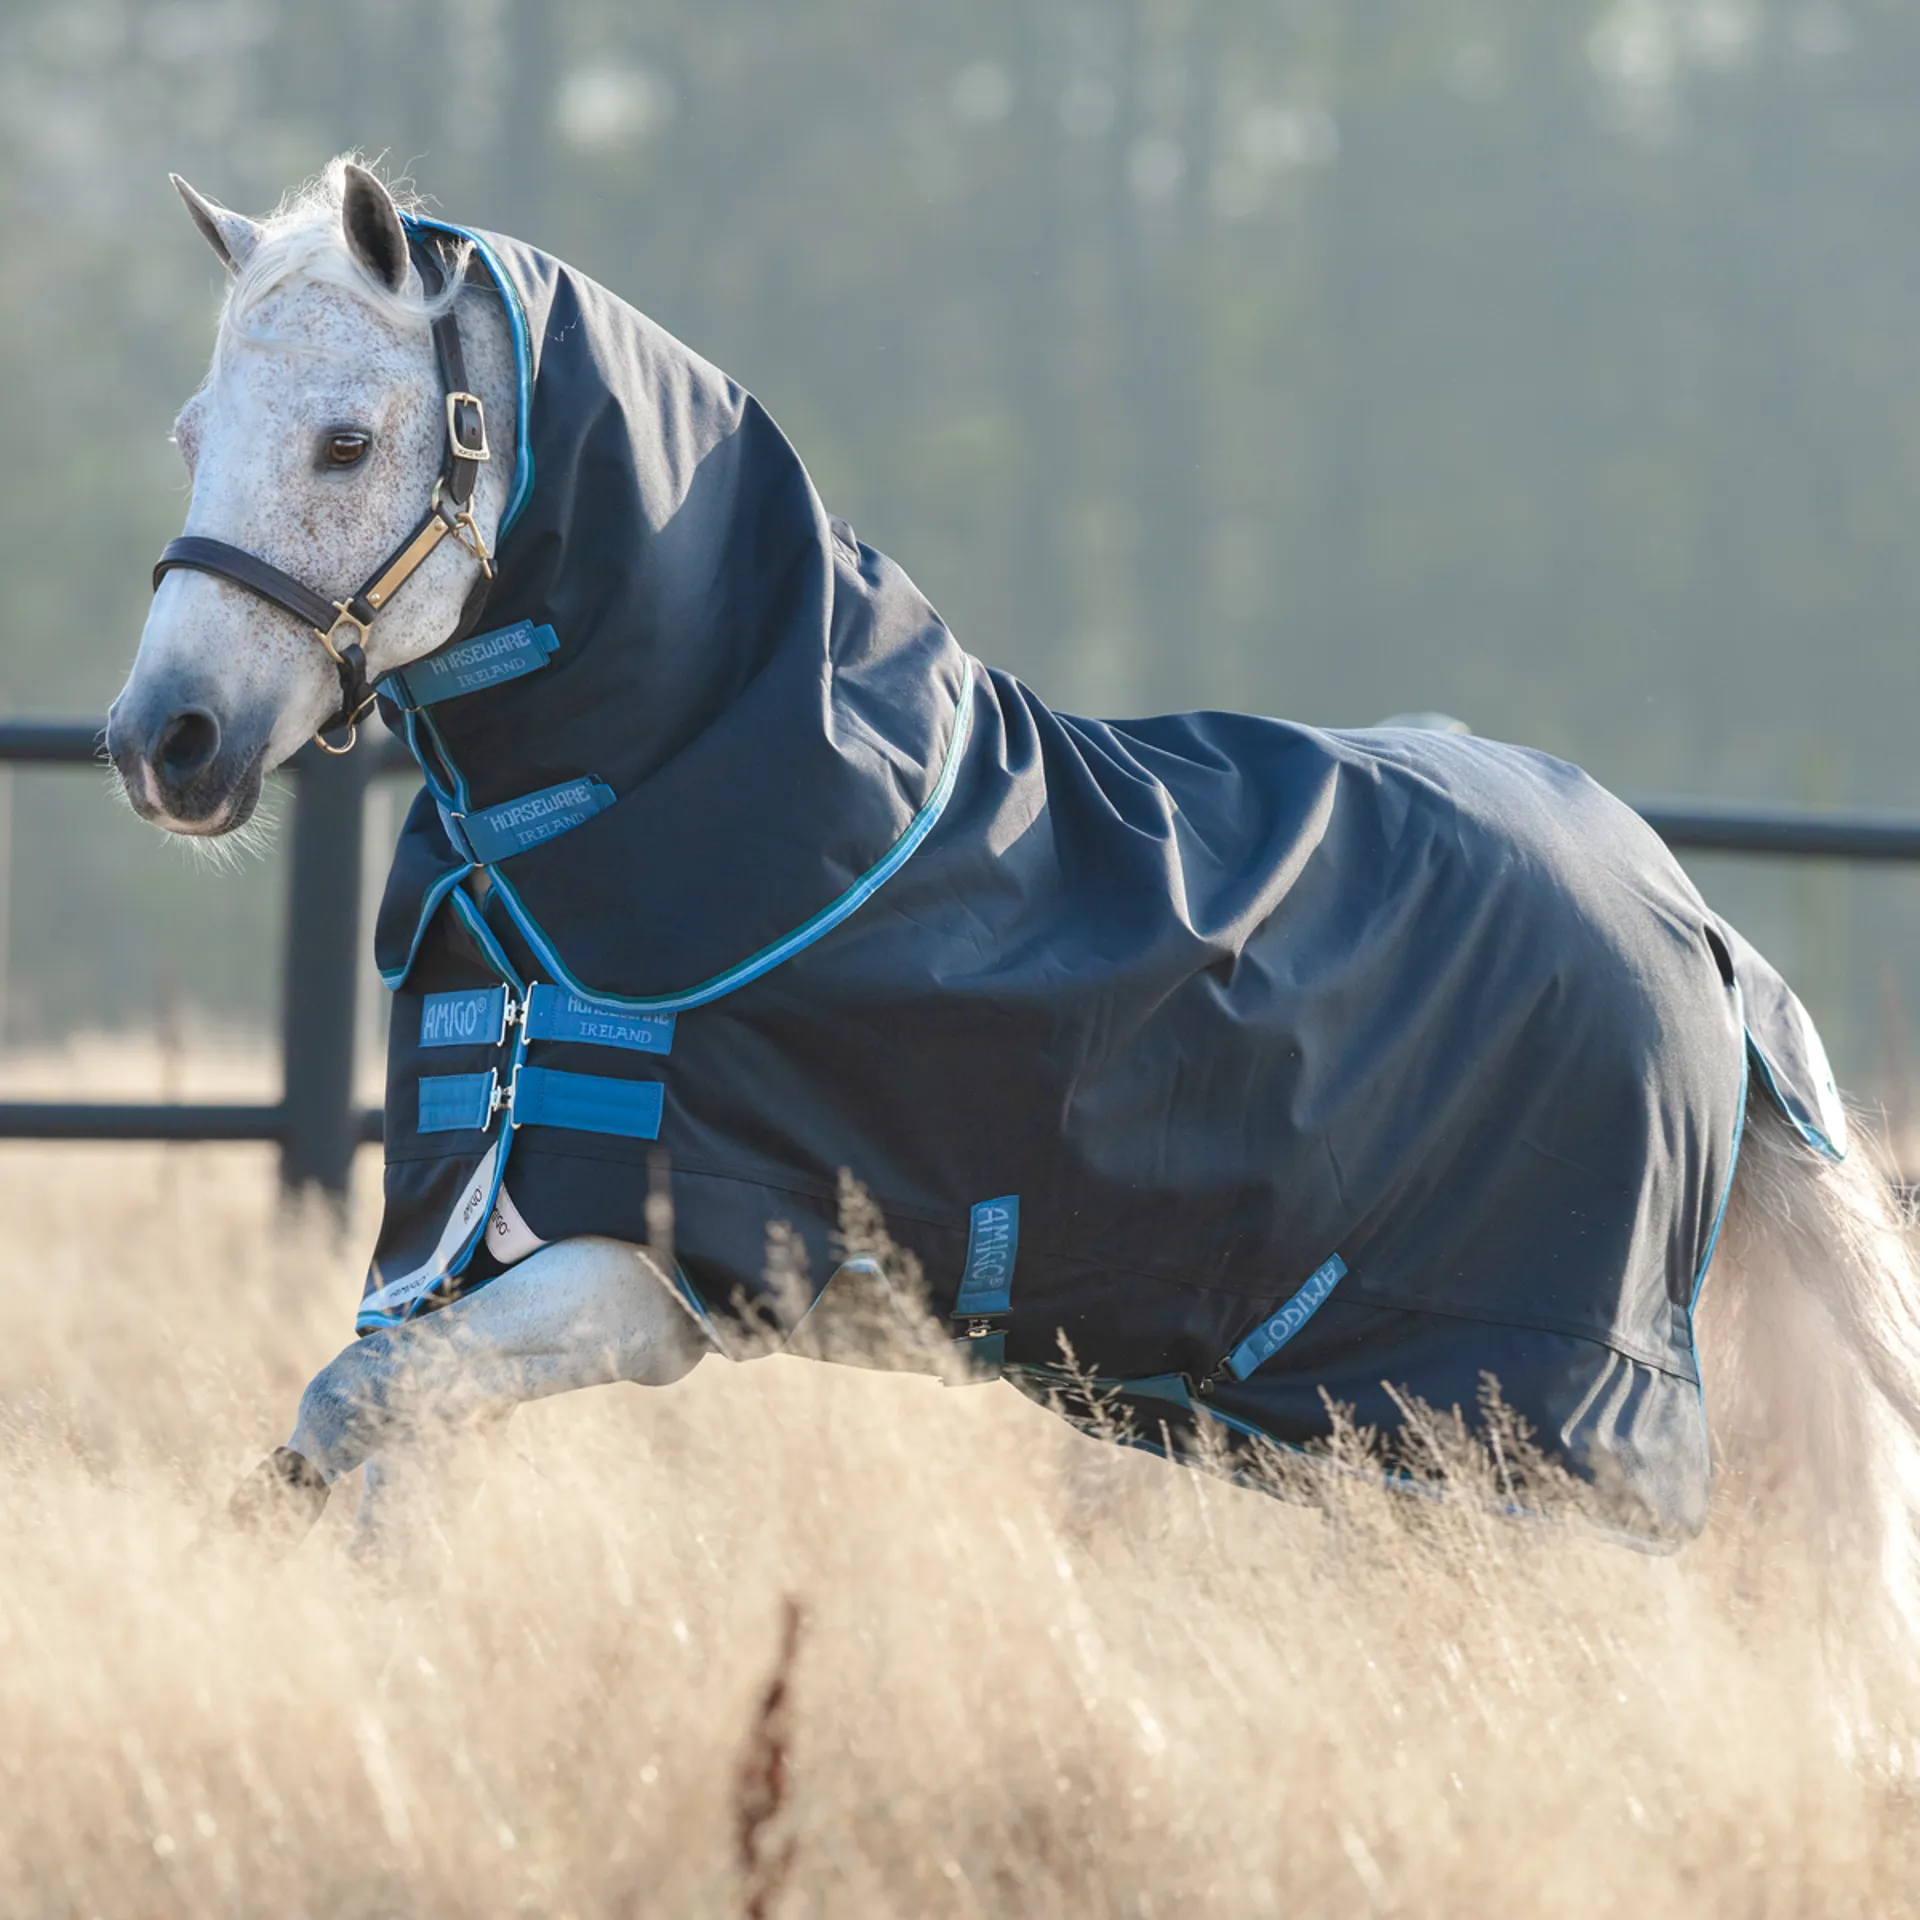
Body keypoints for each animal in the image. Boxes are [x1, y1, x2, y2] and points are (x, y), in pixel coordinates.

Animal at [109, 159, 1920, 1606]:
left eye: (349, 440)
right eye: (190, 433)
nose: (164, 741)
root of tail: (1701, 926)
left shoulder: (655, 1274)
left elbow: (345, 1416)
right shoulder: (459, 1239)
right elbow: (387, 1450)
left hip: (1527, 1425)